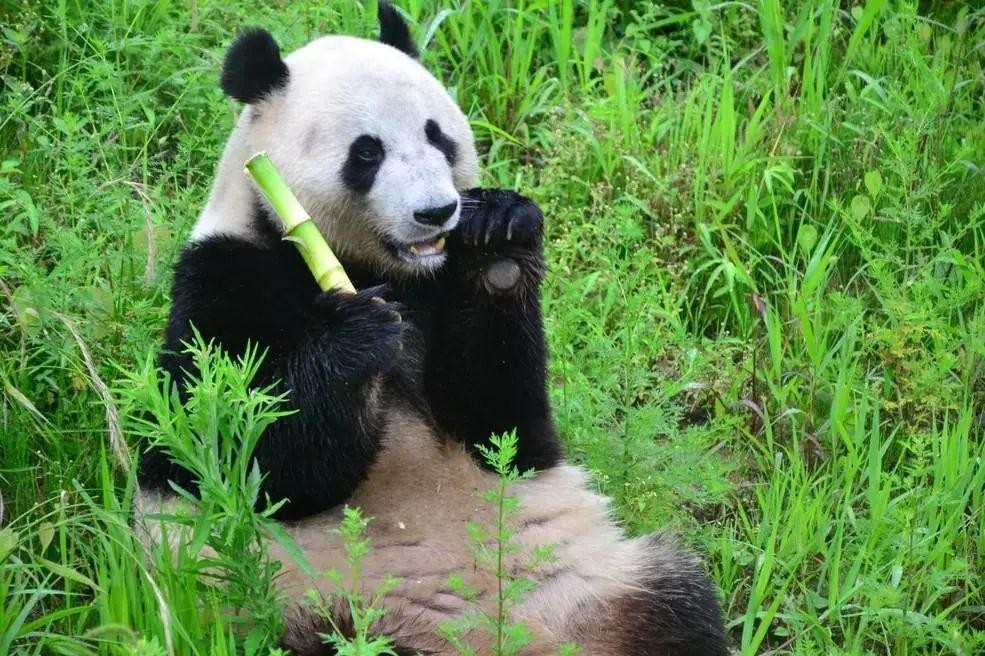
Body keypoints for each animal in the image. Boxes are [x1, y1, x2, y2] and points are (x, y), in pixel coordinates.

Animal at [135, 3, 729, 655]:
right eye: (366, 153)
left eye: (436, 134)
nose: (436, 212)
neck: (374, 268)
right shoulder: (225, 282)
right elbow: (243, 458)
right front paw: (355, 338)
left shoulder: (438, 291)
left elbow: (504, 430)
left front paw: (500, 230)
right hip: (336, 614)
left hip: (594, 584)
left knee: (680, 604)